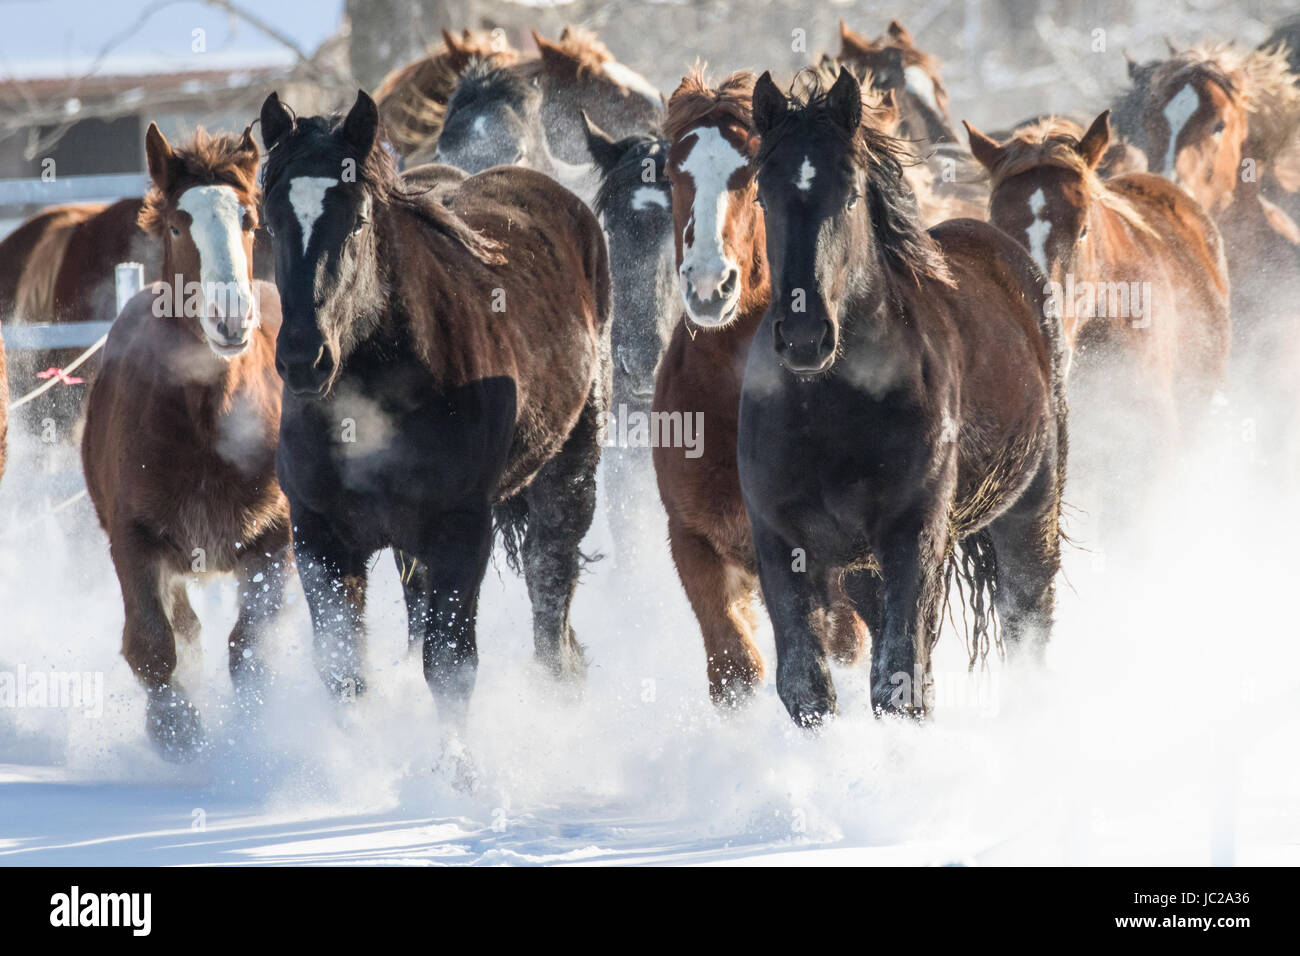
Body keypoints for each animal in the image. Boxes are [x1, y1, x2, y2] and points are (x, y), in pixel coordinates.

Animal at [80, 124, 290, 760]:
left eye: (249, 220)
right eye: (178, 224)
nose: (231, 320)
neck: (206, 424)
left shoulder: (275, 538)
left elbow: (251, 647)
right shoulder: (135, 538)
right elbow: (152, 644)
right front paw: (178, 733)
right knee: (184, 628)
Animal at [259, 90, 611, 725]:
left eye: (358, 218)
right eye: (271, 219)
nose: (303, 358)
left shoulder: (460, 531)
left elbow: (450, 669)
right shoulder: (321, 536)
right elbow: (345, 672)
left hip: (567, 474)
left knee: (550, 588)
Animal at [653, 69, 867, 705]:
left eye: (752, 173)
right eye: (671, 171)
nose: (709, 285)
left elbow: (845, 649)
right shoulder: (693, 541)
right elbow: (734, 669)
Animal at [740, 69, 1068, 725]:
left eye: (849, 194)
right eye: (764, 194)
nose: (806, 337)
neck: (830, 410)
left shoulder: (912, 533)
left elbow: (900, 682)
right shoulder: (782, 540)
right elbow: (806, 686)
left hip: (1030, 507)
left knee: (1028, 615)